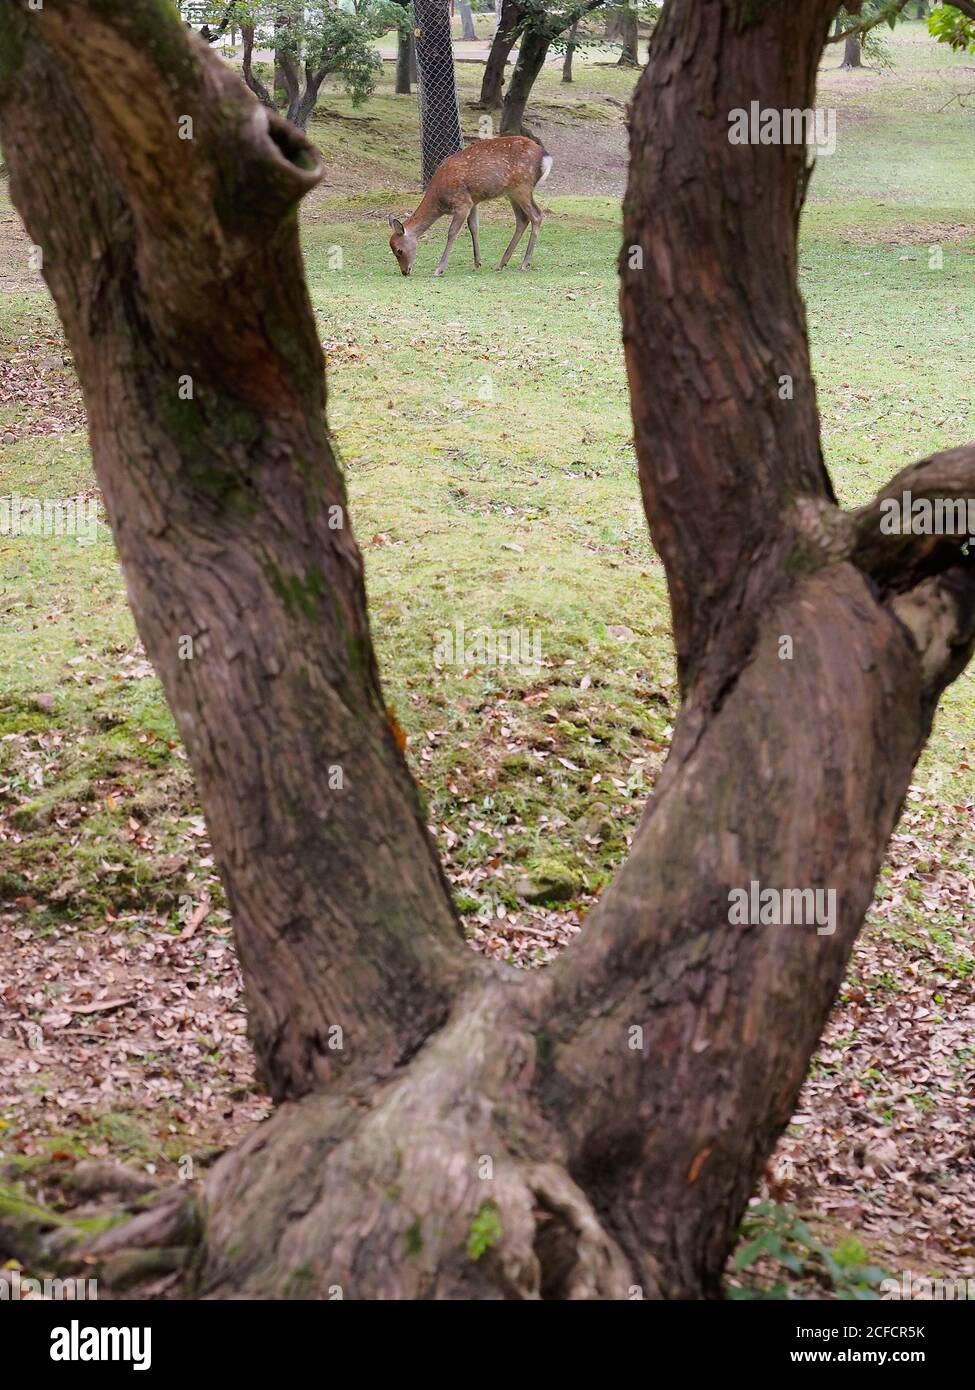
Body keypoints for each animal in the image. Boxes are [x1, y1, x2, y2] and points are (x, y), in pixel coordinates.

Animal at [387, 135, 553, 278]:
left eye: (399, 250)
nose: (405, 271)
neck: (440, 200)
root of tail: (545, 156)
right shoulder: (473, 201)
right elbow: (473, 227)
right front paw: (477, 263)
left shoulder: (462, 203)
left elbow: (452, 232)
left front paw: (439, 269)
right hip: (512, 193)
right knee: (522, 219)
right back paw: (501, 263)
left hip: (522, 187)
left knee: (536, 215)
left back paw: (524, 263)